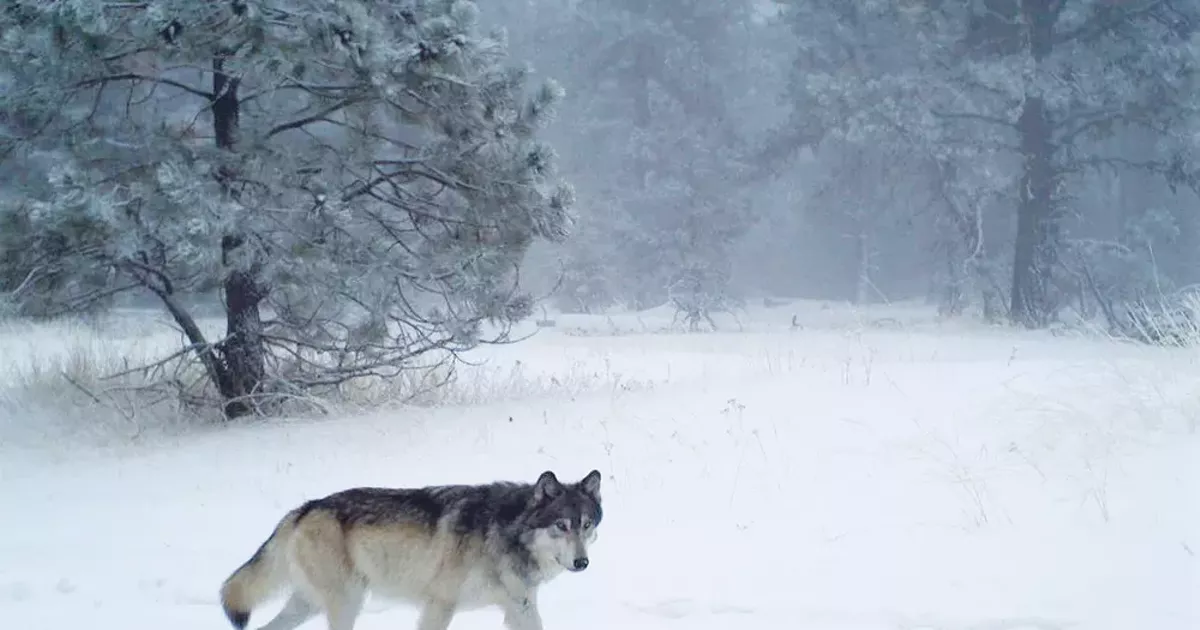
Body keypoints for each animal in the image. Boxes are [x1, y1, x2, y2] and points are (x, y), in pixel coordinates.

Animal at [219, 469, 603, 630]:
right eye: (561, 525)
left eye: (586, 525)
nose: (582, 562)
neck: (503, 533)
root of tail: (305, 508)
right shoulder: (440, 604)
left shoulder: (520, 608)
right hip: (346, 603)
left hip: (309, 604)